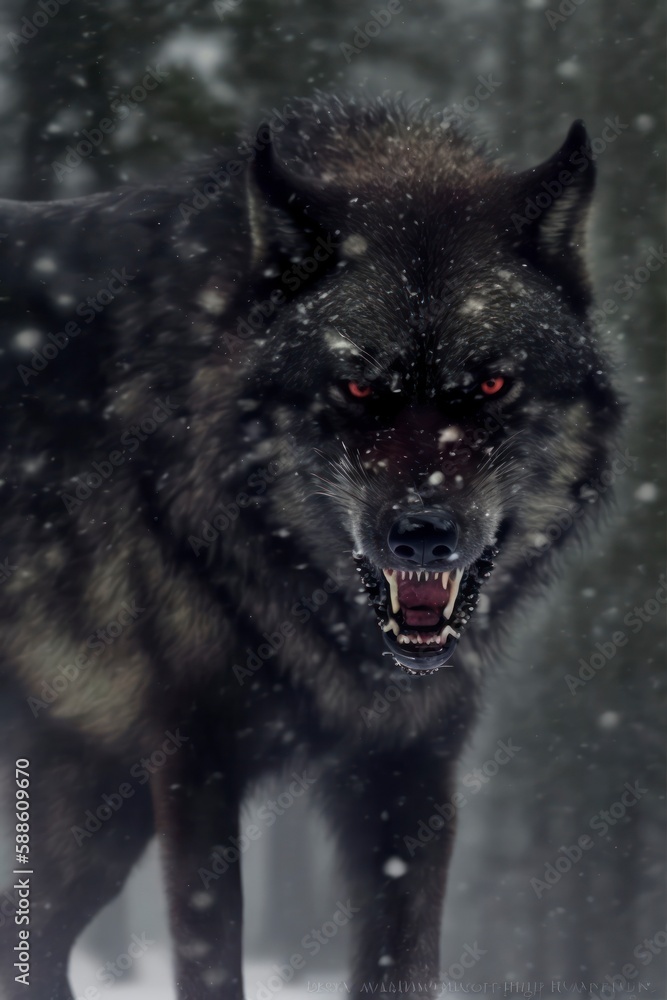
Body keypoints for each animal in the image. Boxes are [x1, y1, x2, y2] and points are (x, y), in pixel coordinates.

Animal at [0, 94, 621, 999]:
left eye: (493, 382)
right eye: (357, 385)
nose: (424, 534)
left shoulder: (411, 763)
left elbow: (403, 963)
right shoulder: (195, 758)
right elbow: (211, 960)